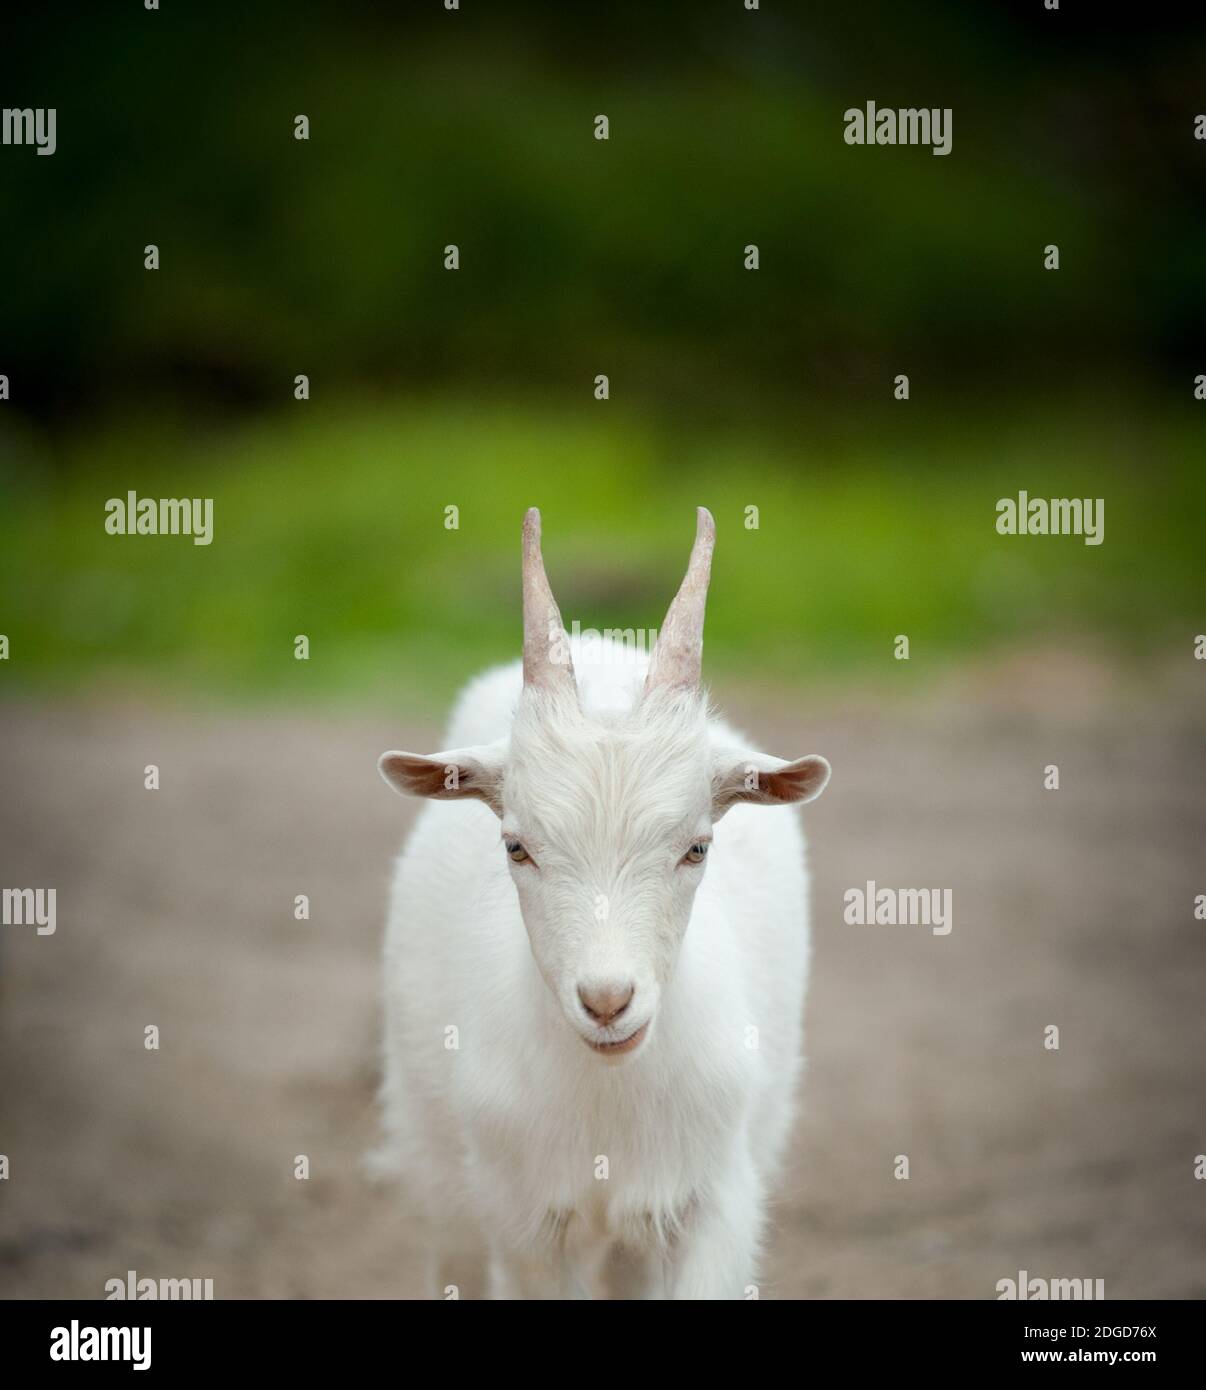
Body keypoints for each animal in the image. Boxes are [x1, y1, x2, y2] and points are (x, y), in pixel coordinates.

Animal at [376, 508, 830, 1298]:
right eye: (516, 846)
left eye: (697, 846)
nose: (608, 1001)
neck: (607, 1098)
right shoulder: (523, 1223)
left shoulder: (712, 1199)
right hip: (439, 1163)